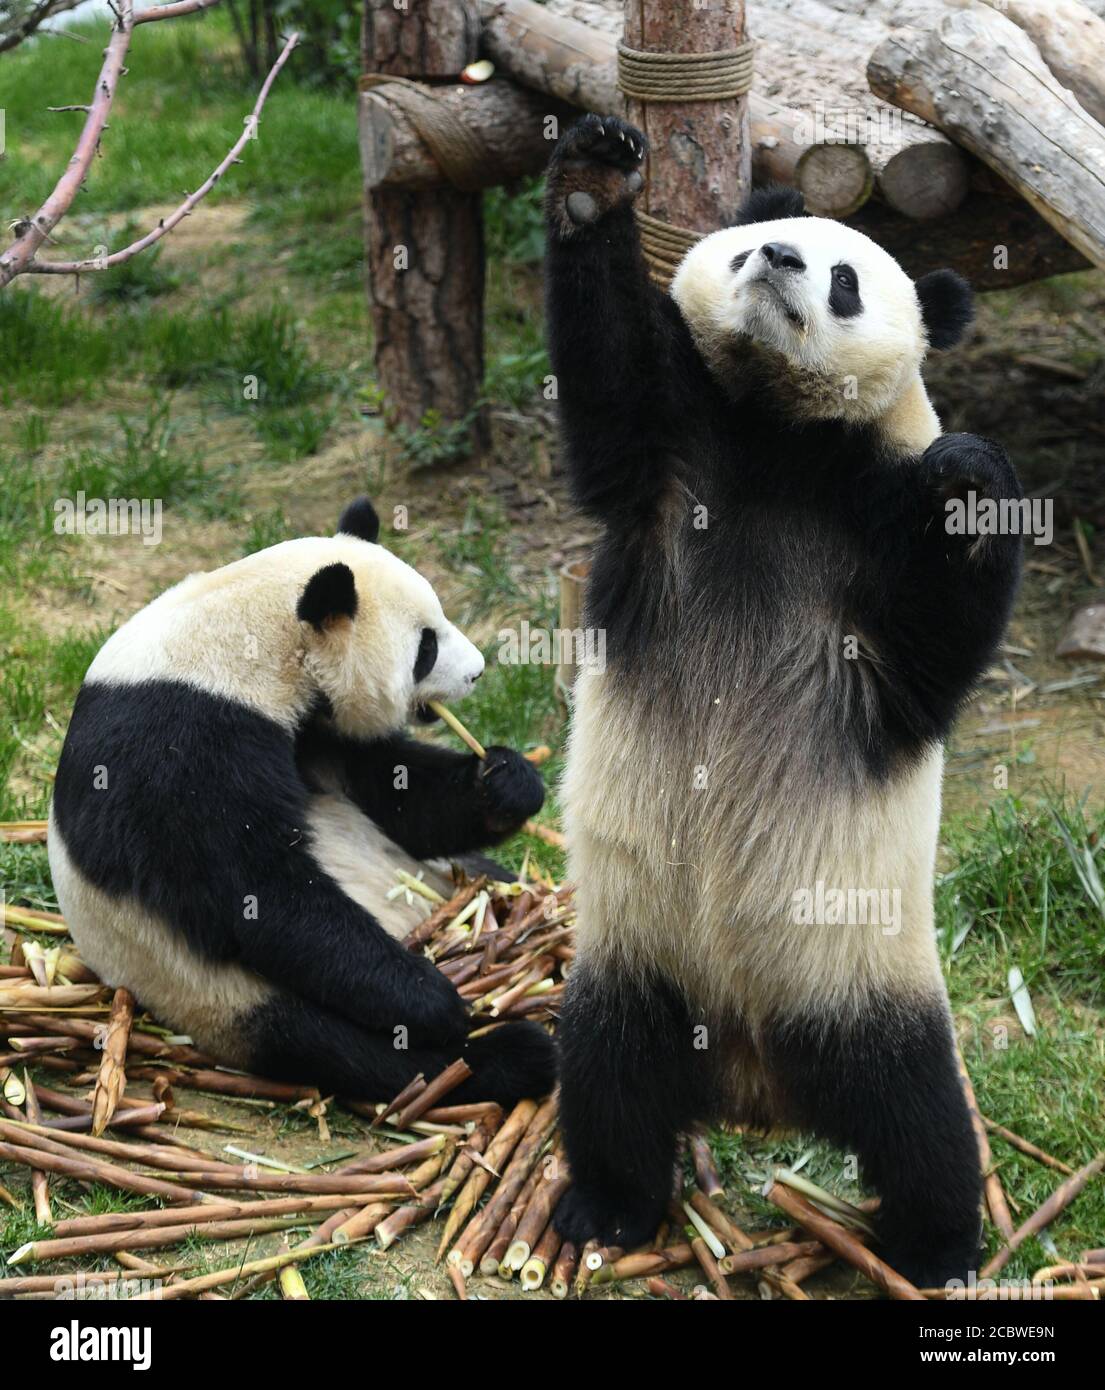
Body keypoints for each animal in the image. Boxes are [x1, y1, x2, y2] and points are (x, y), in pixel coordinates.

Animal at [48, 499, 556, 1106]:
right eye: (426, 647)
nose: (477, 671)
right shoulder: (179, 742)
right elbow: (258, 892)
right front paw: (433, 998)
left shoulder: (319, 729)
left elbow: (399, 795)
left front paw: (505, 782)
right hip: (216, 992)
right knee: (342, 1046)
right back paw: (508, 1055)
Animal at [544, 115, 1024, 1286]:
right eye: (756, 241)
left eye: (847, 279)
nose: (778, 259)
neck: (777, 434)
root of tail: (754, 1083)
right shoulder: (671, 475)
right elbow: (611, 386)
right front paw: (591, 179)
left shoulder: (867, 527)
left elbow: (935, 652)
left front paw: (970, 478)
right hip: (632, 960)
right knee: (607, 1075)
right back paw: (606, 1208)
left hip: (863, 977)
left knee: (922, 1120)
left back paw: (937, 1244)